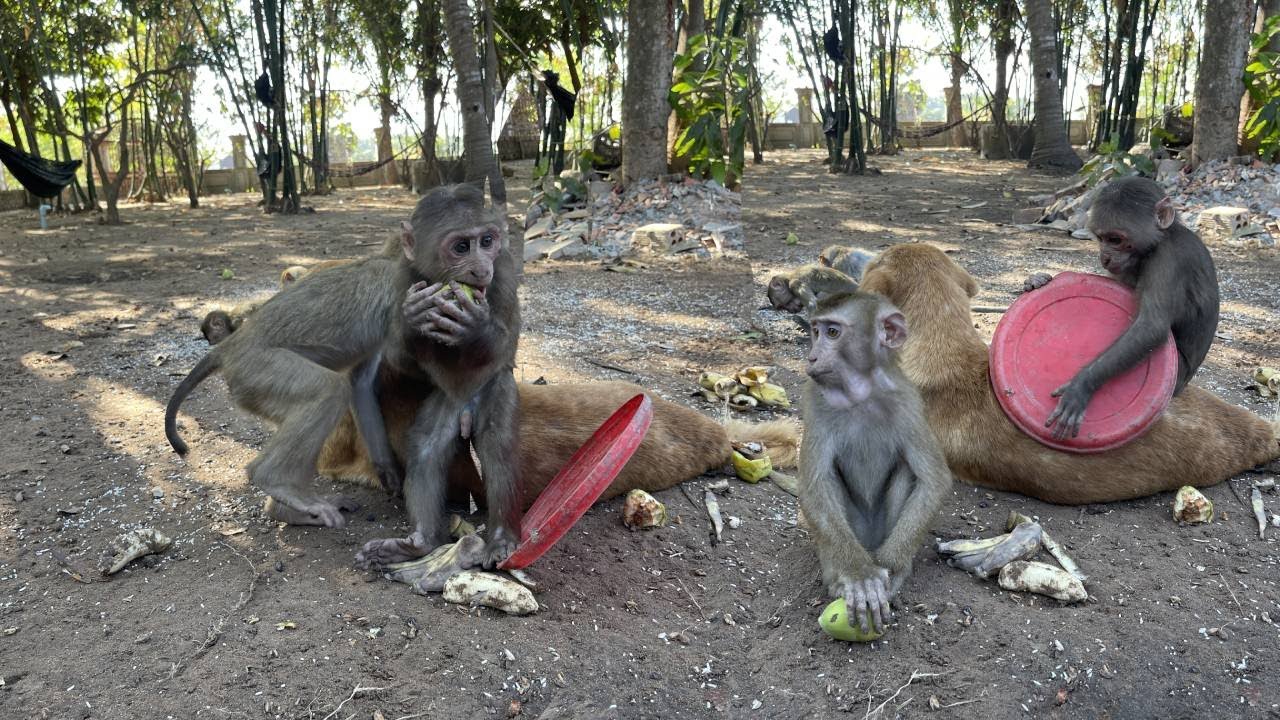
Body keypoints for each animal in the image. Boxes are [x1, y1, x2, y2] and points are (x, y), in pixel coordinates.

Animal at [354, 184, 523, 570]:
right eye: (461, 247)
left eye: (487, 241)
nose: (481, 269)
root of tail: (466, 407)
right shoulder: (400, 275)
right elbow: (397, 357)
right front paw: (414, 320)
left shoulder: (504, 269)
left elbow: (506, 345)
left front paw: (476, 327)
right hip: (447, 401)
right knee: (426, 447)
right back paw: (420, 543)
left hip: (489, 390)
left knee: (498, 444)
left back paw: (501, 538)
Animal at [798, 291, 951, 634]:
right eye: (815, 331)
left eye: (833, 333)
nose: (812, 357)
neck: (861, 393)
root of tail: (867, 543)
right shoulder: (815, 399)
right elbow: (815, 486)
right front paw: (860, 576)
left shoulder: (909, 402)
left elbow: (934, 480)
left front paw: (891, 568)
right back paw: (840, 576)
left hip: (880, 533)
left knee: (908, 470)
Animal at [1023, 177, 1220, 439]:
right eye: (1101, 238)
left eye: (1115, 240)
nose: (1105, 256)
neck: (1160, 240)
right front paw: (1037, 281)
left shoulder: (1169, 260)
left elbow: (1151, 326)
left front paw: (1082, 384)